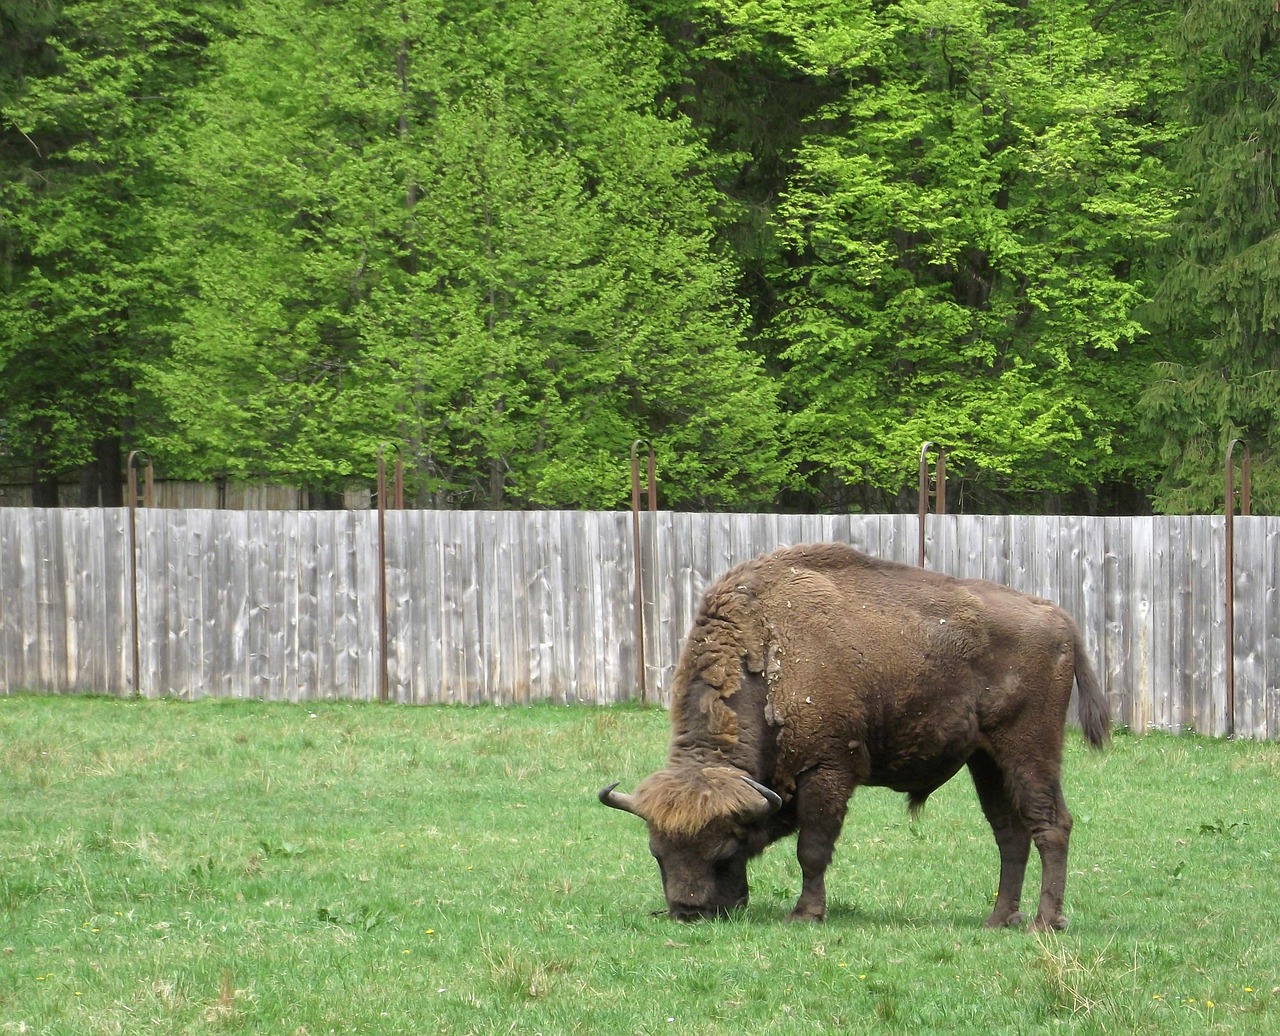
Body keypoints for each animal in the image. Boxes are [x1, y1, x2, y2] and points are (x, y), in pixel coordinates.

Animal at [599, 542, 1109, 928]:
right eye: (657, 853)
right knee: (1010, 833)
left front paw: (805, 914)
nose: (688, 911)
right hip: (985, 760)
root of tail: (1059, 618)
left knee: (1051, 824)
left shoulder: (827, 771)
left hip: (1029, 749)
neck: (767, 644)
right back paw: (998, 920)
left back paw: (1045, 922)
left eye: (725, 849)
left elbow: (812, 850)